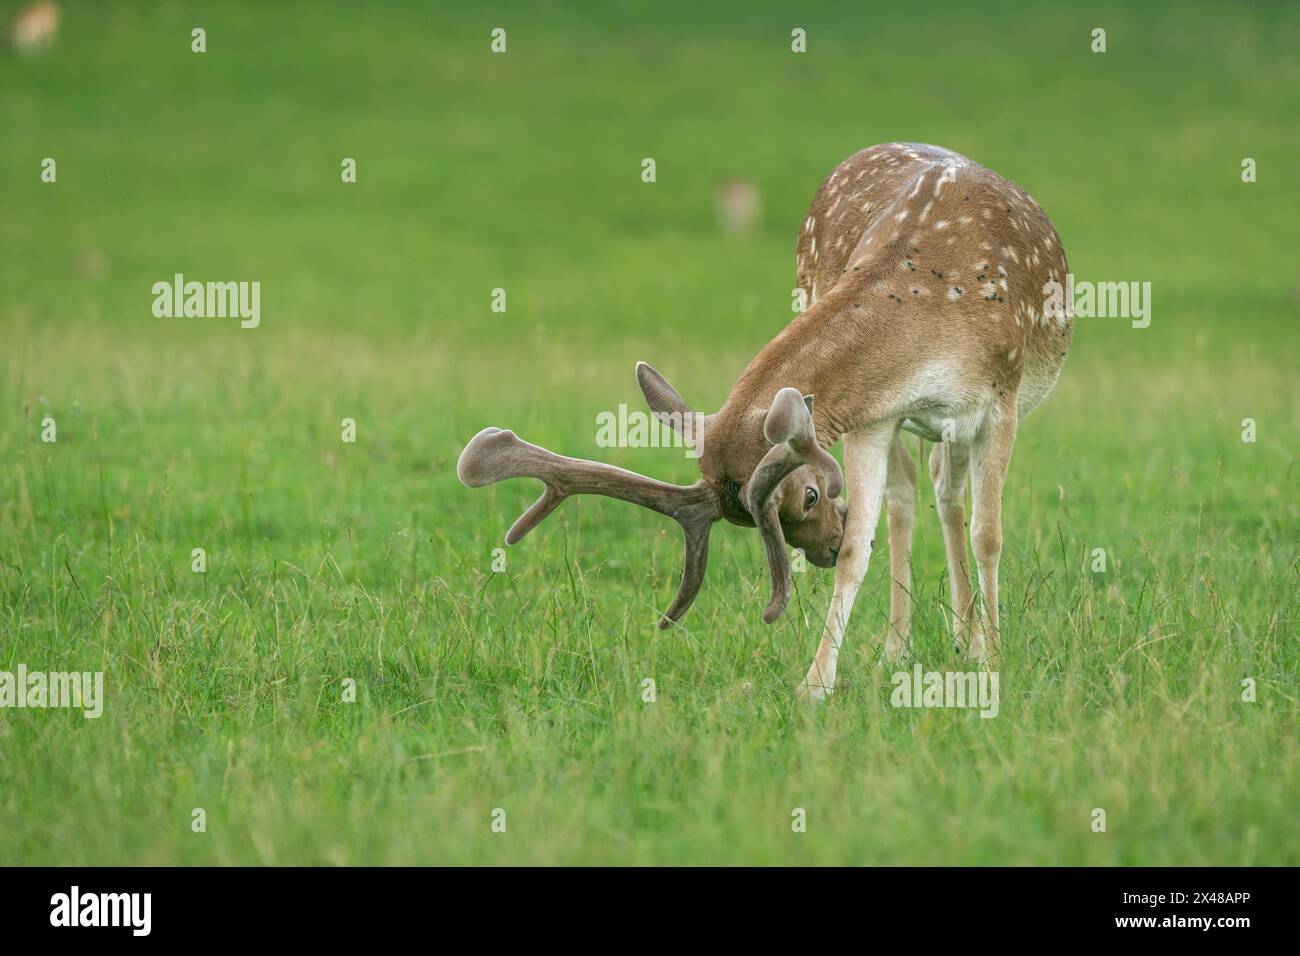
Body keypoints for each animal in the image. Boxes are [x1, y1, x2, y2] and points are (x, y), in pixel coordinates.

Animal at [458, 143, 1072, 699]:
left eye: (807, 495)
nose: (821, 551)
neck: (938, 307)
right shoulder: (877, 413)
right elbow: (863, 548)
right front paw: (818, 683)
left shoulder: (1001, 401)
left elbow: (989, 535)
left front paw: (994, 664)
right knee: (916, 493)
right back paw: (907, 645)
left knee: (950, 495)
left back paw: (968, 640)